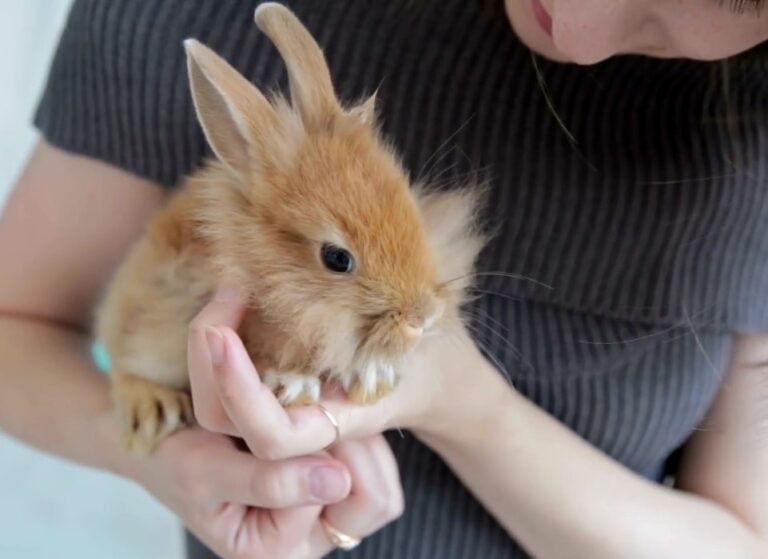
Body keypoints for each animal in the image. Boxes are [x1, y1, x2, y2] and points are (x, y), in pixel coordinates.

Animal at [96, 2, 486, 454]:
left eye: (412, 210)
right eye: (336, 258)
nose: (424, 317)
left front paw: (374, 376)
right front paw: (296, 384)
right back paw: (153, 409)